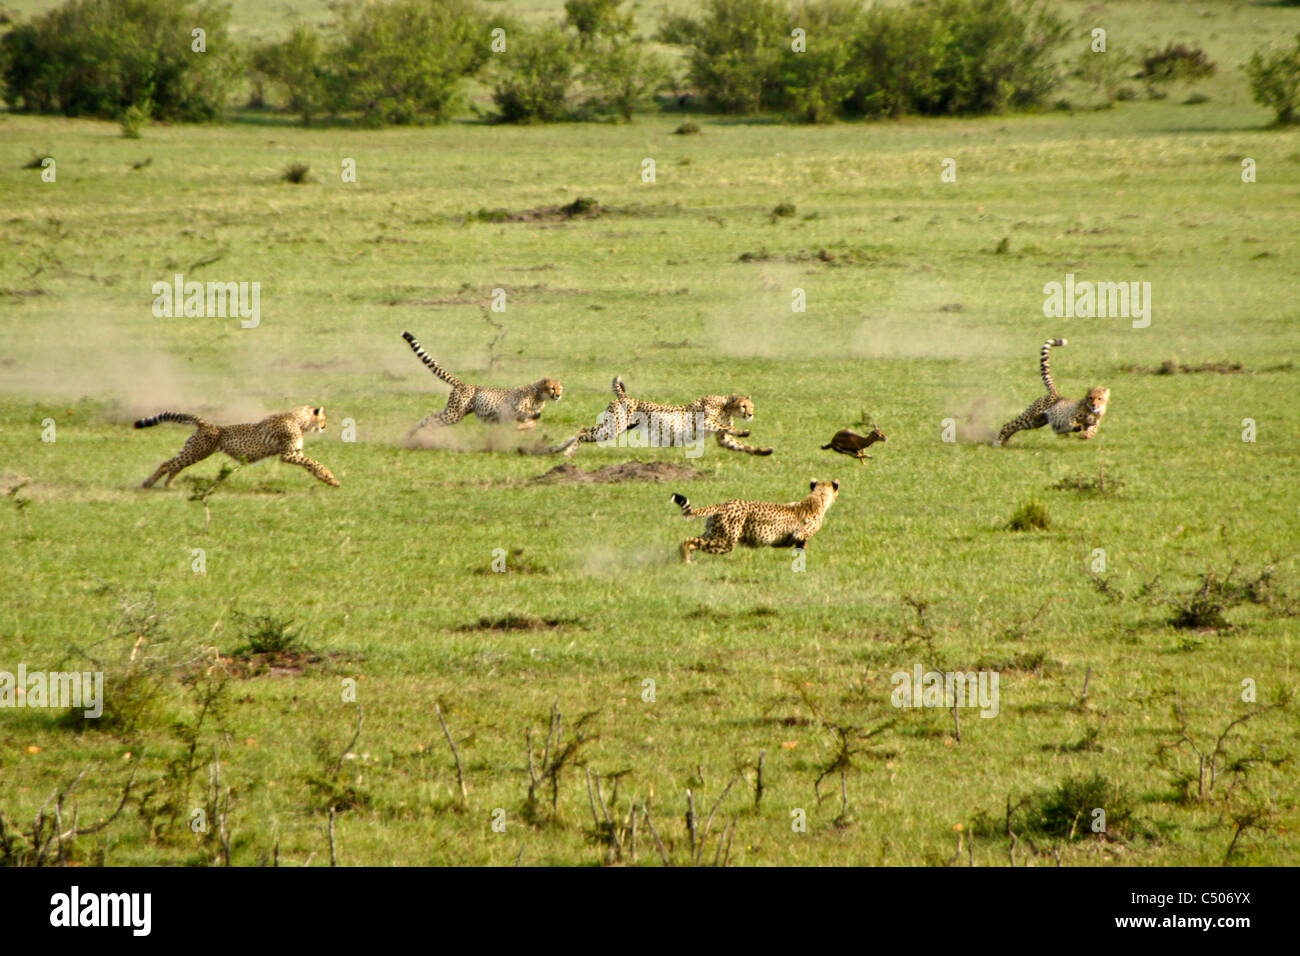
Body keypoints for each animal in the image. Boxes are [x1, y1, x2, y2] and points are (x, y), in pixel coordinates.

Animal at [134, 406, 338, 488]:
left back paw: (167, 484)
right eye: (324, 418)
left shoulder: (295, 453)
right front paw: (332, 478)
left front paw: (327, 479)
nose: (326, 426)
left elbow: (312, 465)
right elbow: (314, 462)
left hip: (192, 451)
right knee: (168, 464)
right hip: (197, 452)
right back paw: (149, 483)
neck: (299, 420)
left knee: (175, 465)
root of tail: (207, 424)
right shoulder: (288, 454)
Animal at [402, 331, 562, 437]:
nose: (558, 395)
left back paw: (411, 434)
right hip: (454, 414)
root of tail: (463, 384)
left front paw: (522, 428)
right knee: (432, 422)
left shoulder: (520, 415)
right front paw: (528, 421)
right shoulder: (514, 409)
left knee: (429, 417)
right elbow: (532, 414)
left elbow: (532, 422)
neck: (539, 394)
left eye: (561, 388)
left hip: (452, 411)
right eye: (552, 388)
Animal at [551, 376, 773, 457]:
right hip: (612, 429)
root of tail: (625, 396)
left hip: (612, 427)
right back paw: (568, 451)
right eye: (743, 406)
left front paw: (764, 451)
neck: (725, 406)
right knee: (582, 431)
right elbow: (729, 427)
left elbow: (741, 445)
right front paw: (744, 431)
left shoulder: (722, 438)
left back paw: (559, 449)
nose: (751, 414)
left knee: (582, 430)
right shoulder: (707, 422)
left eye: (751, 406)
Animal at [670, 479, 839, 563]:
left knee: (693, 541)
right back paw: (686, 560)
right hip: (725, 542)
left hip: (714, 534)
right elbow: (801, 545)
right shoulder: (800, 534)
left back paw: (686, 558)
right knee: (687, 540)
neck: (816, 499)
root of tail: (724, 504)